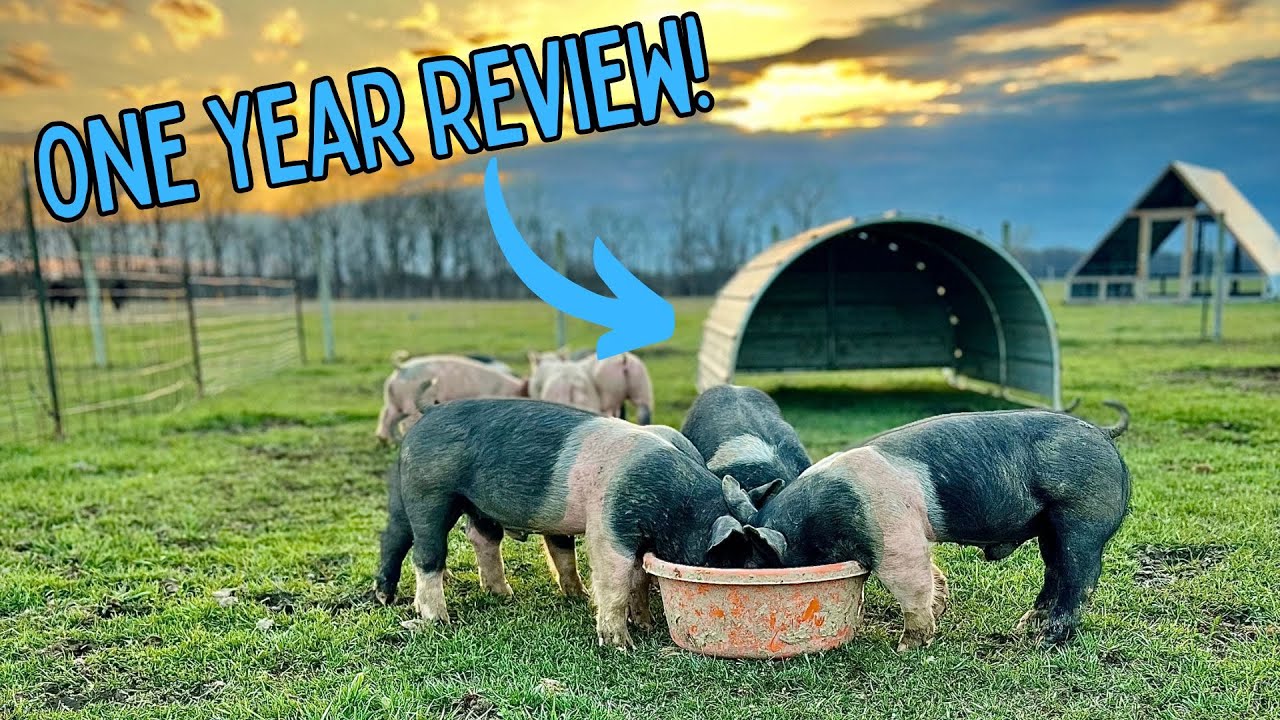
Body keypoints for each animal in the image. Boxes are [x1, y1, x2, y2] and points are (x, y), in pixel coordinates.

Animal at [374, 398, 782, 648]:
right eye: (731, 556)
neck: (676, 505)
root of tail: (426, 415)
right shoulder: (609, 525)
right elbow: (615, 580)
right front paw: (622, 645)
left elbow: (638, 579)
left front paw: (645, 625)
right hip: (429, 492)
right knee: (426, 554)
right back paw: (437, 620)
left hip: (436, 501)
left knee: (417, 537)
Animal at [375, 353, 528, 443]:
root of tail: (402, 368)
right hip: (409, 403)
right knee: (405, 422)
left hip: (393, 401)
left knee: (387, 416)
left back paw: (386, 439)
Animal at [747, 402, 1131, 651]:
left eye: (760, 559)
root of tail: (1102, 433)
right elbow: (932, 574)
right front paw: (941, 607)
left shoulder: (895, 535)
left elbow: (912, 583)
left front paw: (906, 647)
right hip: (1050, 528)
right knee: (1054, 571)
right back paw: (1024, 628)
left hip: (1082, 517)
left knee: (1079, 577)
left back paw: (1042, 642)